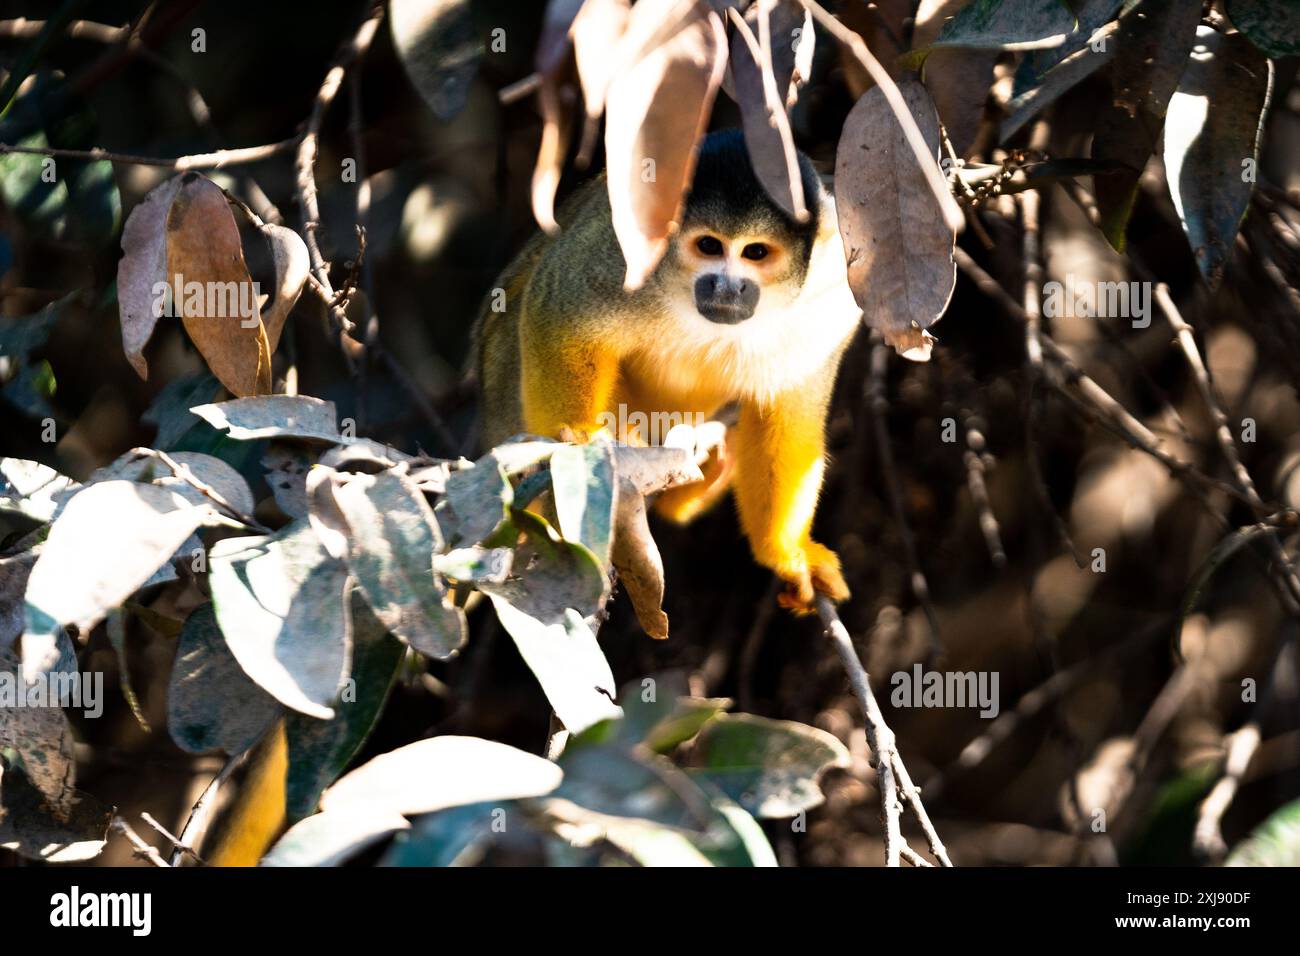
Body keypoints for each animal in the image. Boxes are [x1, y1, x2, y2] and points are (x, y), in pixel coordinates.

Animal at [477, 129, 861, 612]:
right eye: (709, 246)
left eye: (756, 252)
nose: (727, 287)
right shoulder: (621, 251)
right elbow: (559, 313)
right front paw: (581, 445)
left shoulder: (830, 293)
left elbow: (790, 423)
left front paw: (787, 555)